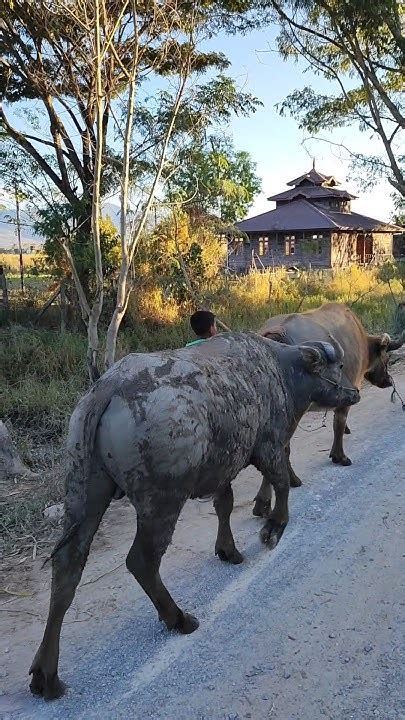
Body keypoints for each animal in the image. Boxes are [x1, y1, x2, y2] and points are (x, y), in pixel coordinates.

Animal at [28, 334, 358, 700]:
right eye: (337, 366)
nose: (354, 393)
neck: (280, 371)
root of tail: (108, 388)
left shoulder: (224, 468)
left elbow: (225, 504)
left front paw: (228, 550)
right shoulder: (268, 446)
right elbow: (282, 483)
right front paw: (274, 527)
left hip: (82, 491)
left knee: (68, 566)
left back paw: (46, 674)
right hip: (162, 502)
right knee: (141, 561)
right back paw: (179, 618)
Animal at [252, 300, 404, 516]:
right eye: (387, 358)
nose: (389, 380)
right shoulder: (348, 393)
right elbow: (338, 425)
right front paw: (339, 456)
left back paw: (291, 480)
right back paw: (264, 502)